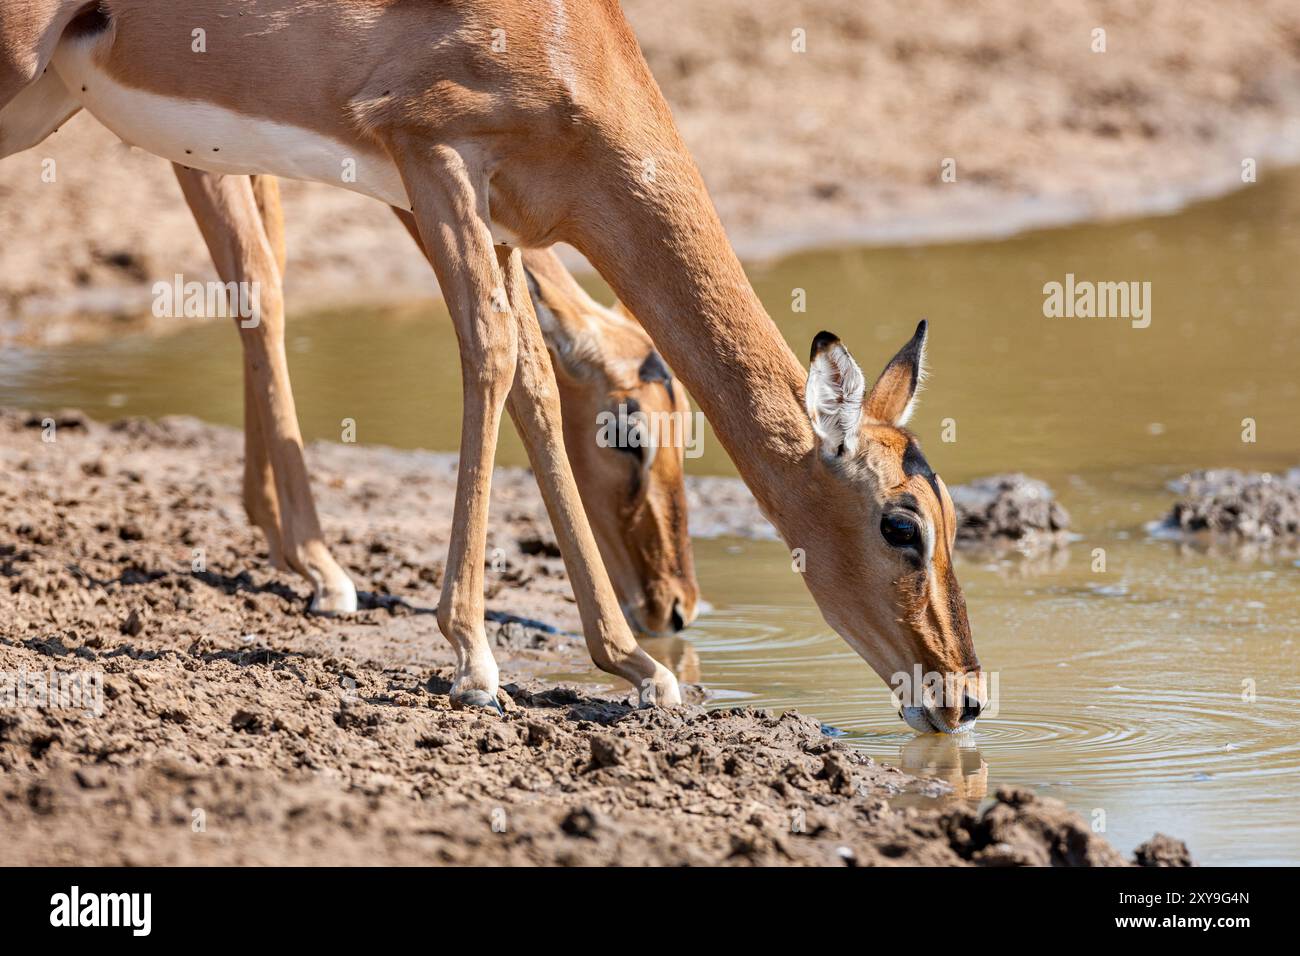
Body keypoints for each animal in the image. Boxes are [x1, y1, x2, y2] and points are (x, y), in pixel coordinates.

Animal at [1, 0, 983, 730]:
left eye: (952, 519)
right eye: (902, 526)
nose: (965, 695)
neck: (568, 38)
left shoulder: (502, 221)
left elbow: (535, 384)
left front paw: (637, 667)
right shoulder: (432, 162)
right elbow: (490, 351)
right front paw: (473, 659)